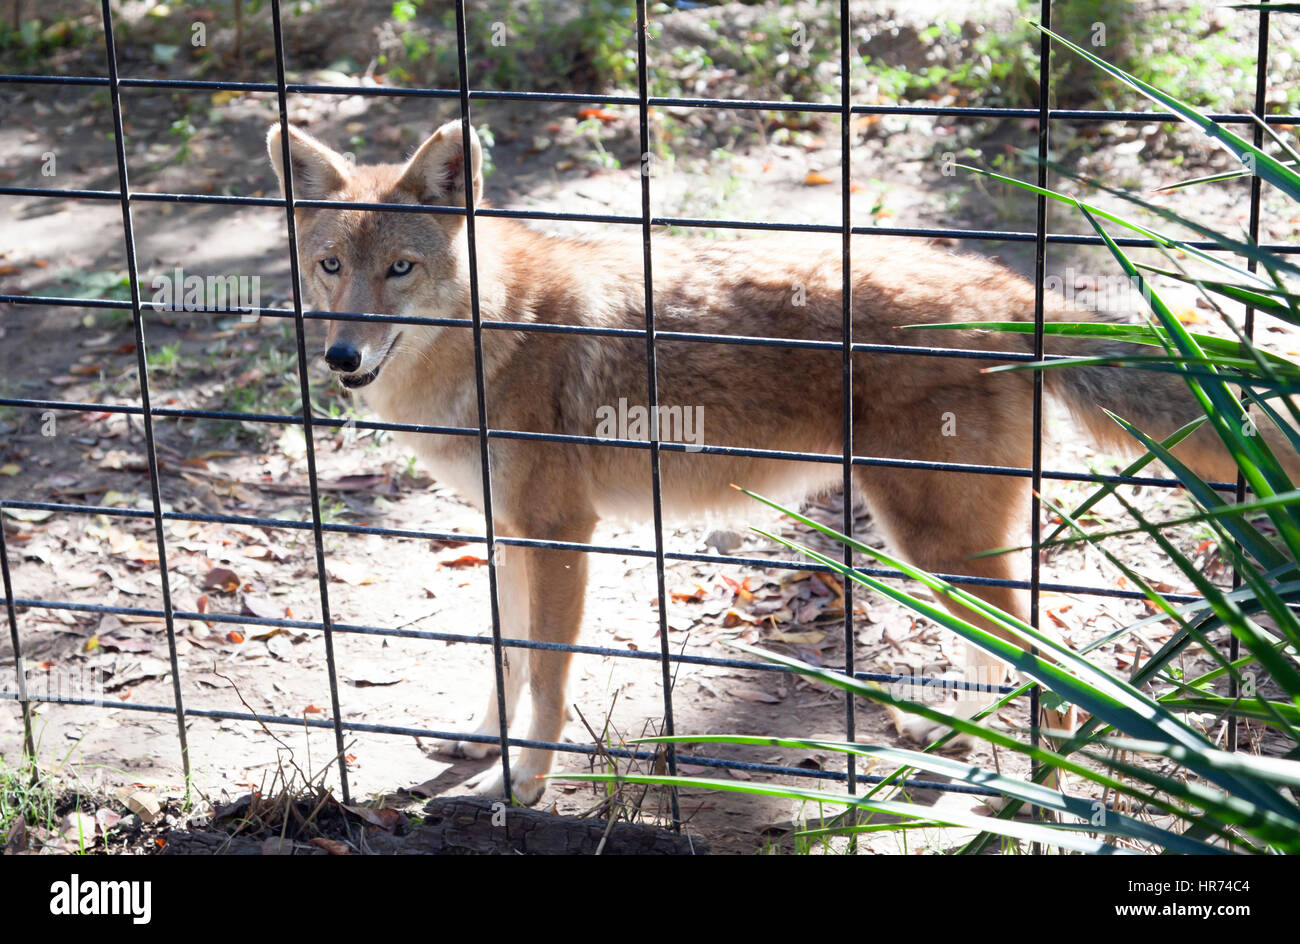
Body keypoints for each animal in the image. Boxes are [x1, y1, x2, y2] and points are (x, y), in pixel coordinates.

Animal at [267, 117, 1281, 804]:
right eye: (330, 266)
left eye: (400, 270)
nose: (343, 357)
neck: (496, 336)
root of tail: (1008, 286)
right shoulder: (510, 534)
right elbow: (503, 660)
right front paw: (481, 746)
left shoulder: (561, 538)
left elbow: (545, 682)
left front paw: (518, 788)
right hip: (947, 555)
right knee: (1002, 660)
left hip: (939, 547)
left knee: (1056, 680)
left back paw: (1024, 796)